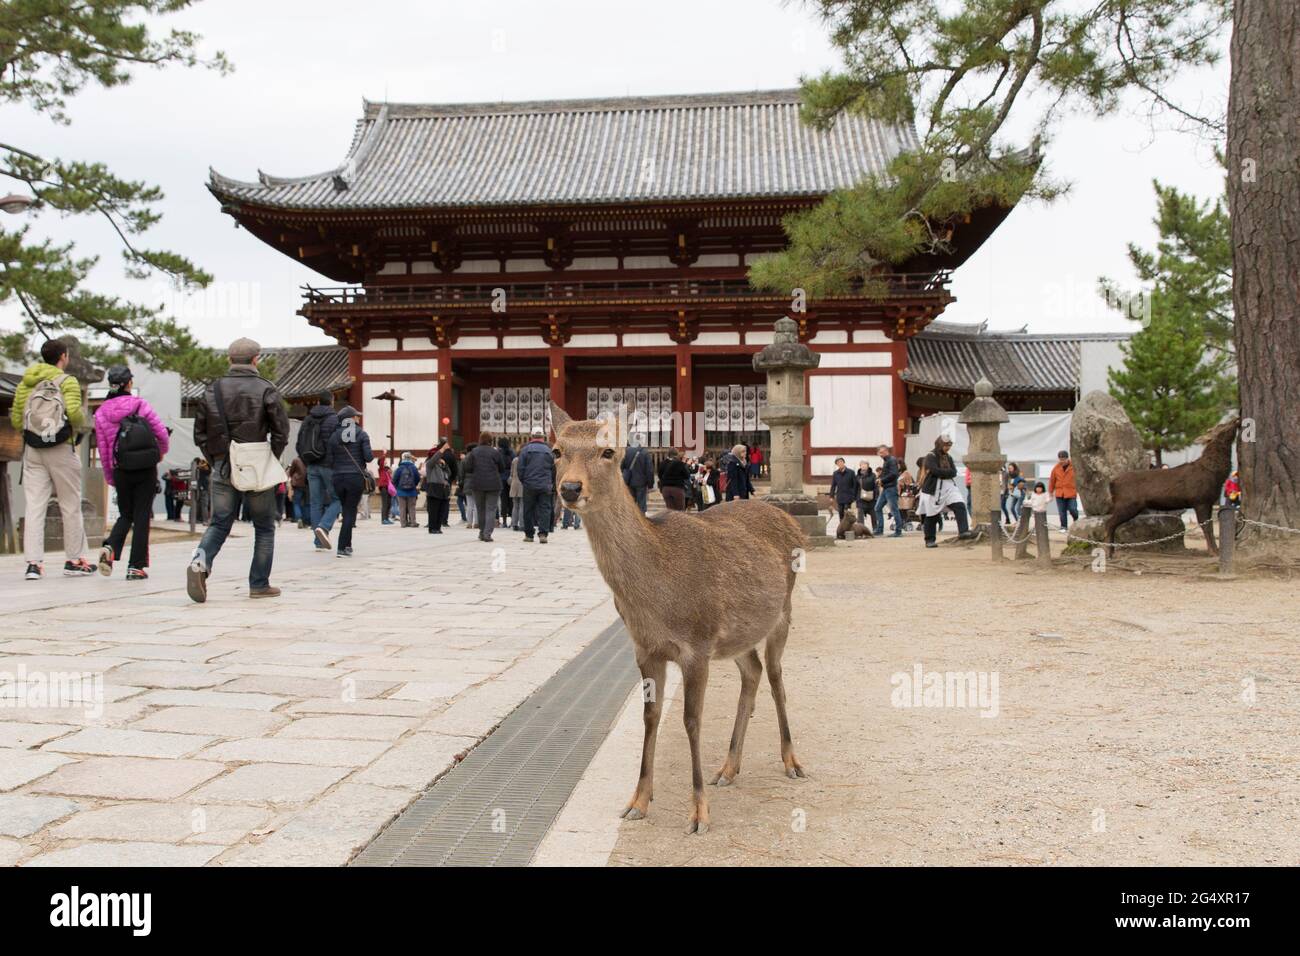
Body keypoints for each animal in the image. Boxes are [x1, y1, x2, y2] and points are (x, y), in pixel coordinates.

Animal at [549, 403, 806, 834]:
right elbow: (650, 717)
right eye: (556, 450)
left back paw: (792, 761)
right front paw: (637, 801)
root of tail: (791, 521)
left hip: (782, 614)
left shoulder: (697, 646)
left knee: (776, 678)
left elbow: (690, 720)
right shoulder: (645, 649)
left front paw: (699, 812)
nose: (569, 489)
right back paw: (728, 768)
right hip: (736, 635)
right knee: (752, 671)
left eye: (608, 452)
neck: (657, 598)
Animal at [1104, 417, 1240, 557]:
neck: (1217, 475)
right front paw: (1213, 552)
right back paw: (1108, 552)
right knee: (1109, 524)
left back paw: (1111, 551)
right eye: (1220, 426)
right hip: (1127, 504)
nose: (1236, 419)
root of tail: (1111, 483)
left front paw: (1216, 550)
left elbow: (1210, 526)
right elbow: (1206, 527)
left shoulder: (1210, 502)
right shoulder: (1200, 500)